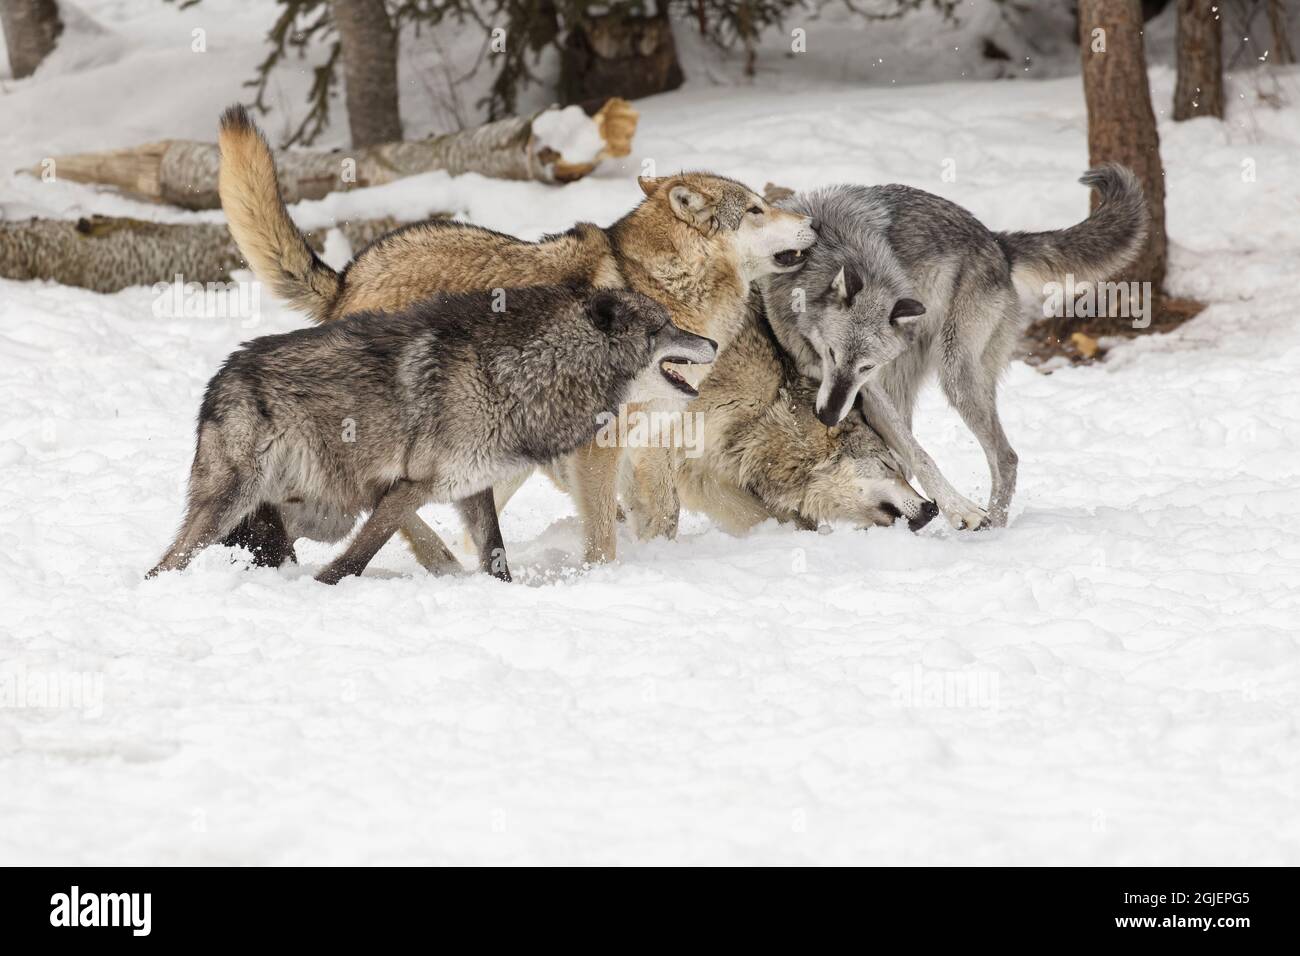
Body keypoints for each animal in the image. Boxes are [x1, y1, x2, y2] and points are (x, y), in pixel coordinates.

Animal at [148, 286, 716, 584]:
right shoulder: (412, 488)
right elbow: (358, 556)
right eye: (662, 327)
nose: (711, 342)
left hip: (312, 513)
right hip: (238, 504)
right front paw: (326, 588)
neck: (519, 373)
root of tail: (221, 376)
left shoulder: (473, 489)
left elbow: (495, 553)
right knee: (167, 561)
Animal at [216, 104, 815, 568]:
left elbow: (660, 518)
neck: (664, 285)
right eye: (757, 208)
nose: (812, 223)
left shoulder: (653, 441)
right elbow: (603, 531)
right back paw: (435, 560)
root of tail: (347, 279)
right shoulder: (597, 444)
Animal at [759, 166, 1148, 530]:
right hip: (911, 383)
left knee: (1005, 457)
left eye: (866, 367)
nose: (826, 417)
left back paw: (993, 527)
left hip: (954, 376)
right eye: (832, 354)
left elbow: (921, 455)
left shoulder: (867, 389)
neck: (829, 252)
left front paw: (960, 510)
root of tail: (997, 242)